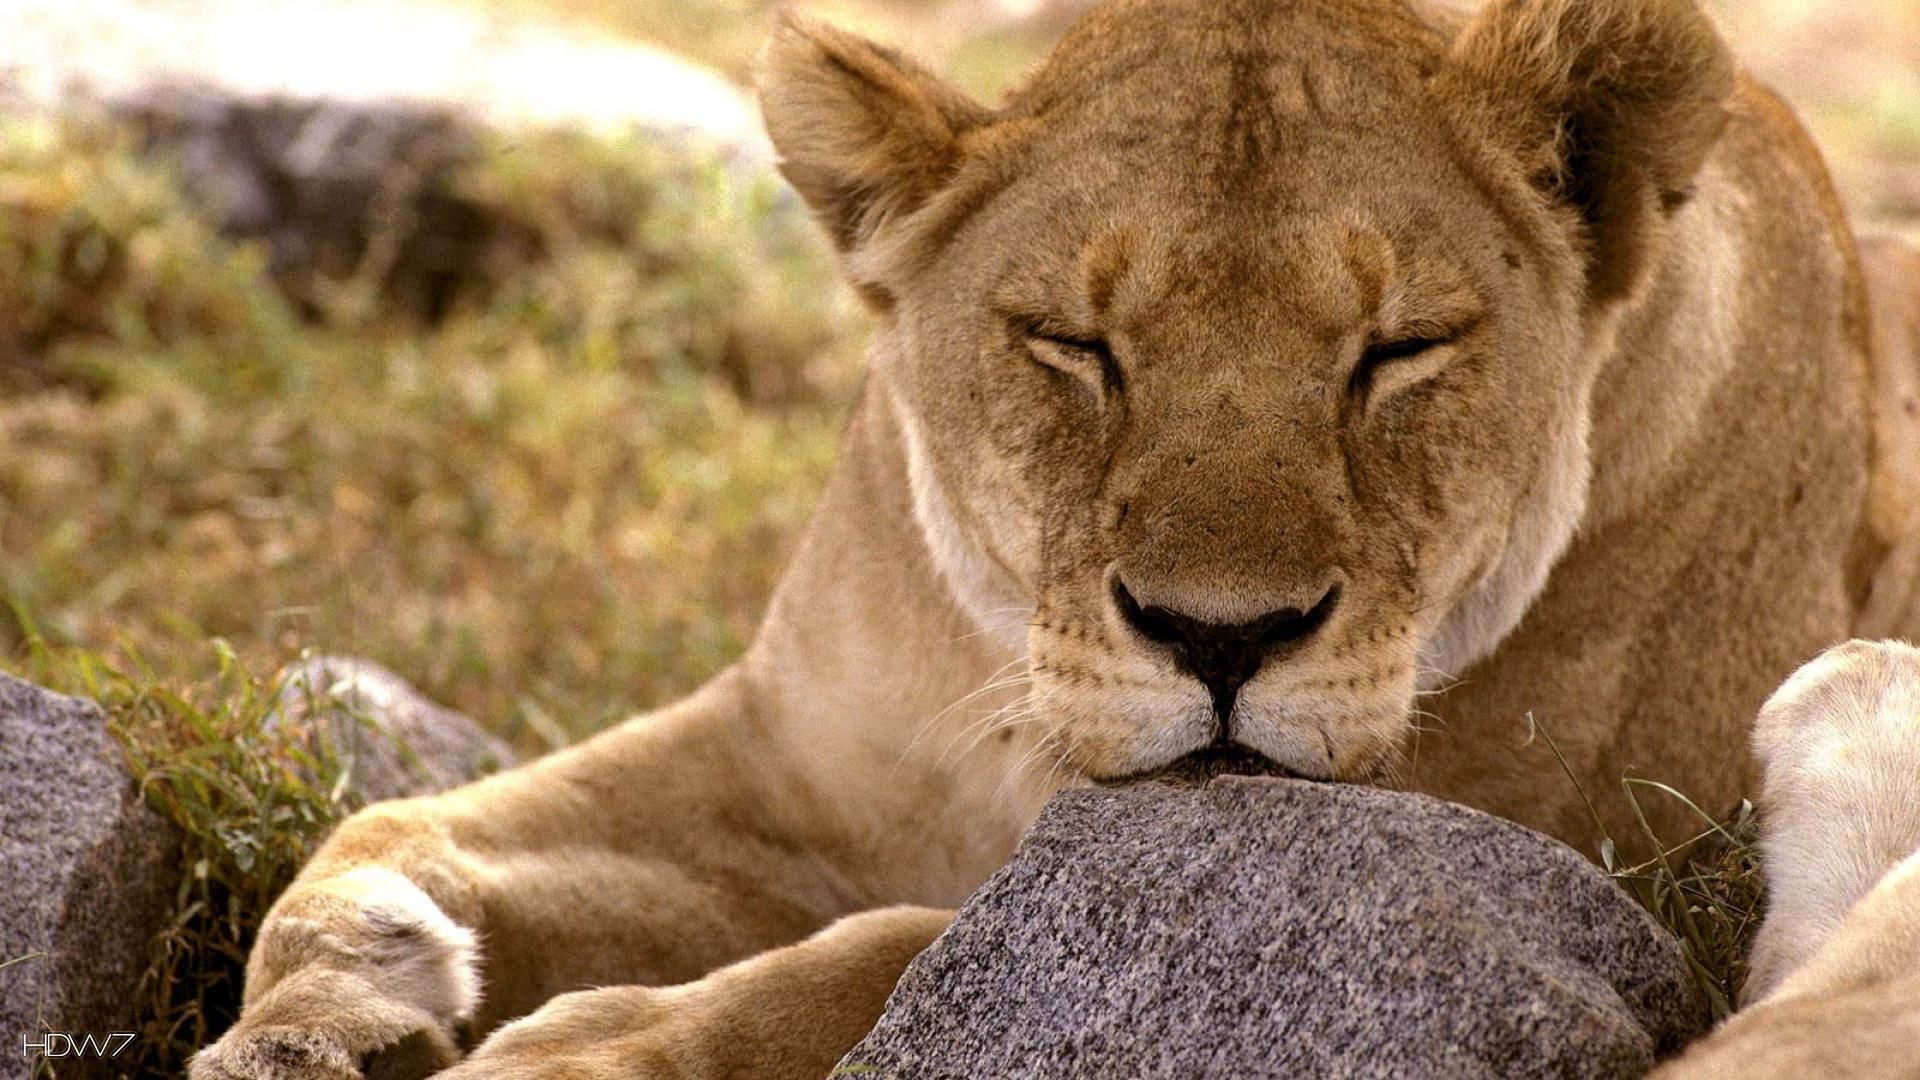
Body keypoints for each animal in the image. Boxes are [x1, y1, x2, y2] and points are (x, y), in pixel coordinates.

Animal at [189, 0, 1920, 1076]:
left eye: (1400, 351)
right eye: (1074, 345)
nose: (1222, 637)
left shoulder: (1557, 873)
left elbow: (894, 950)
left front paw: (589, 1051)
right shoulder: (786, 766)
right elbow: (404, 829)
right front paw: (327, 1007)